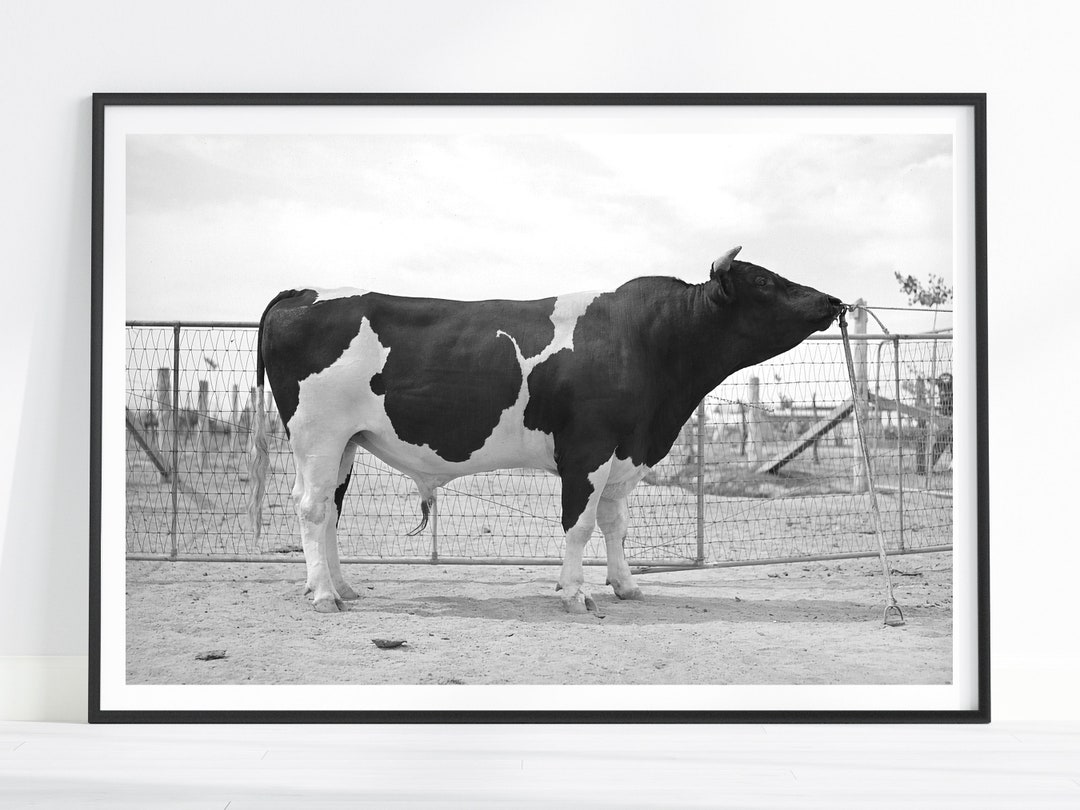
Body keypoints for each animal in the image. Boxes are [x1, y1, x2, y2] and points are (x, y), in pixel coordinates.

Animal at [247, 247, 844, 613]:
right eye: (763, 280)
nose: (834, 300)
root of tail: (302, 292)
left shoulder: (625, 452)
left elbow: (615, 524)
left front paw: (625, 585)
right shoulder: (588, 449)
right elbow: (578, 526)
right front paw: (575, 594)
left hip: (345, 444)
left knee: (331, 510)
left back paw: (344, 586)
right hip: (318, 436)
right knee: (312, 507)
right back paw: (323, 595)